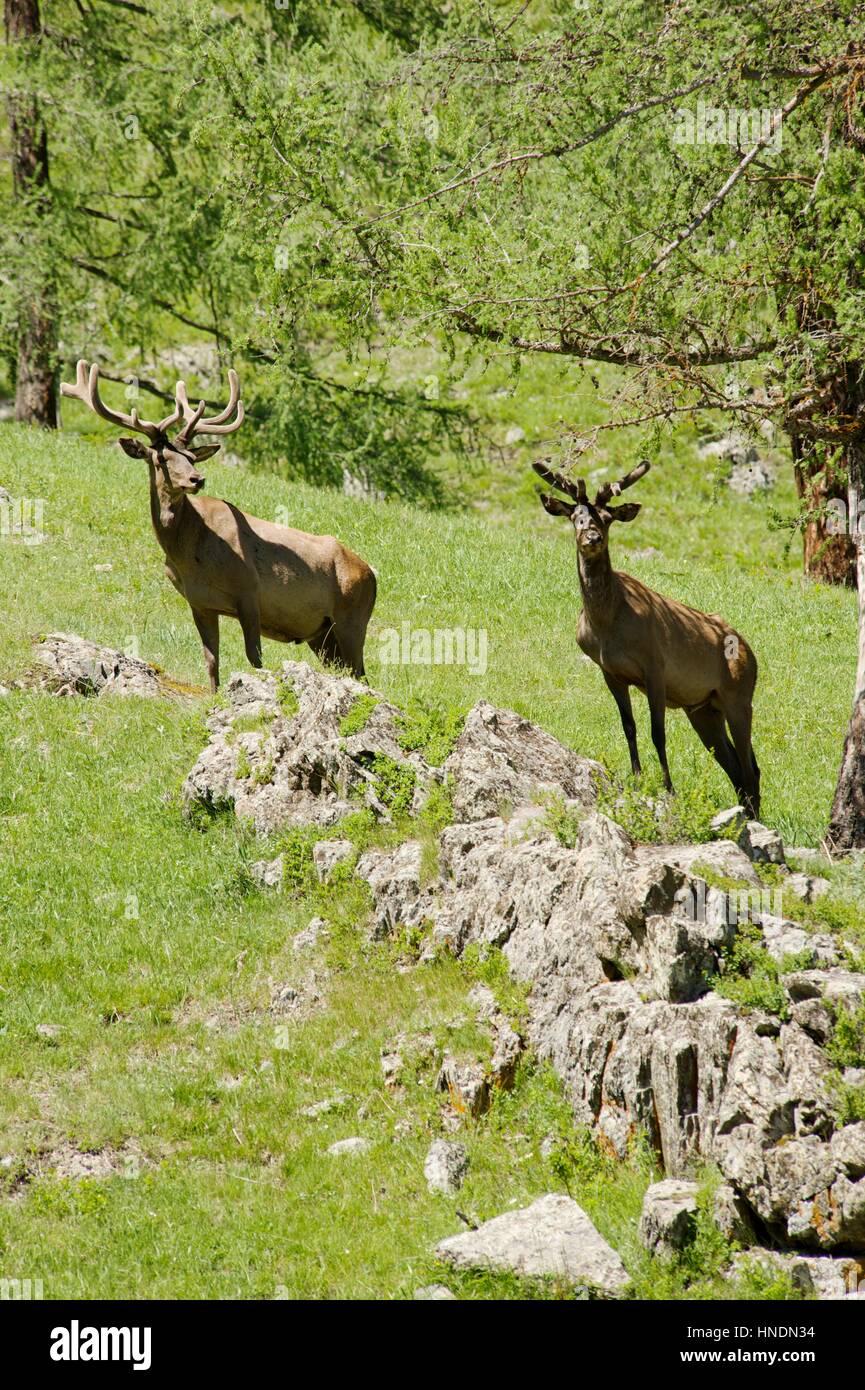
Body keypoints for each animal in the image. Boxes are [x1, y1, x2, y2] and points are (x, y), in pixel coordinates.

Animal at [60, 361, 377, 692]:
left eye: (191, 457)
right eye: (161, 459)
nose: (196, 479)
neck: (190, 556)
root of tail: (371, 574)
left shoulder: (249, 590)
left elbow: (255, 658)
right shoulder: (199, 603)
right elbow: (211, 660)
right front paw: (216, 695)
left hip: (352, 617)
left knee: (361, 672)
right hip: (321, 634)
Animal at [534, 456, 761, 817]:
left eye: (608, 519)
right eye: (575, 517)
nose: (592, 537)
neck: (607, 626)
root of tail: (752, 656)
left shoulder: (656, 666)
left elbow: (658, 733)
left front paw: (668, 789)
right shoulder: (610, 671)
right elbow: (629, 726)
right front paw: (638, 778)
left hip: (739, 694)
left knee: (750, 767)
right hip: (703, 708)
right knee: (737, 768)